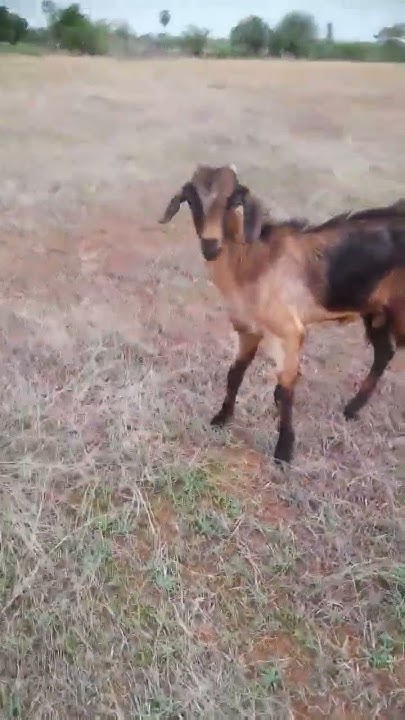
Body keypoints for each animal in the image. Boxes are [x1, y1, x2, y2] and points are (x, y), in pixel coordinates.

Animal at [159, 164, 405, 464]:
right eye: (192, 201)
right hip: (376, 309)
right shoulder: (248, 329)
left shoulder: (289, 331)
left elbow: (287, 389)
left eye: (233, 200)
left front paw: (284, 451)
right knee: (384, 353)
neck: (253, 262)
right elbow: (235, 373)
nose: (210, 244)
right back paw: (351, 409)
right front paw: (221, 418)